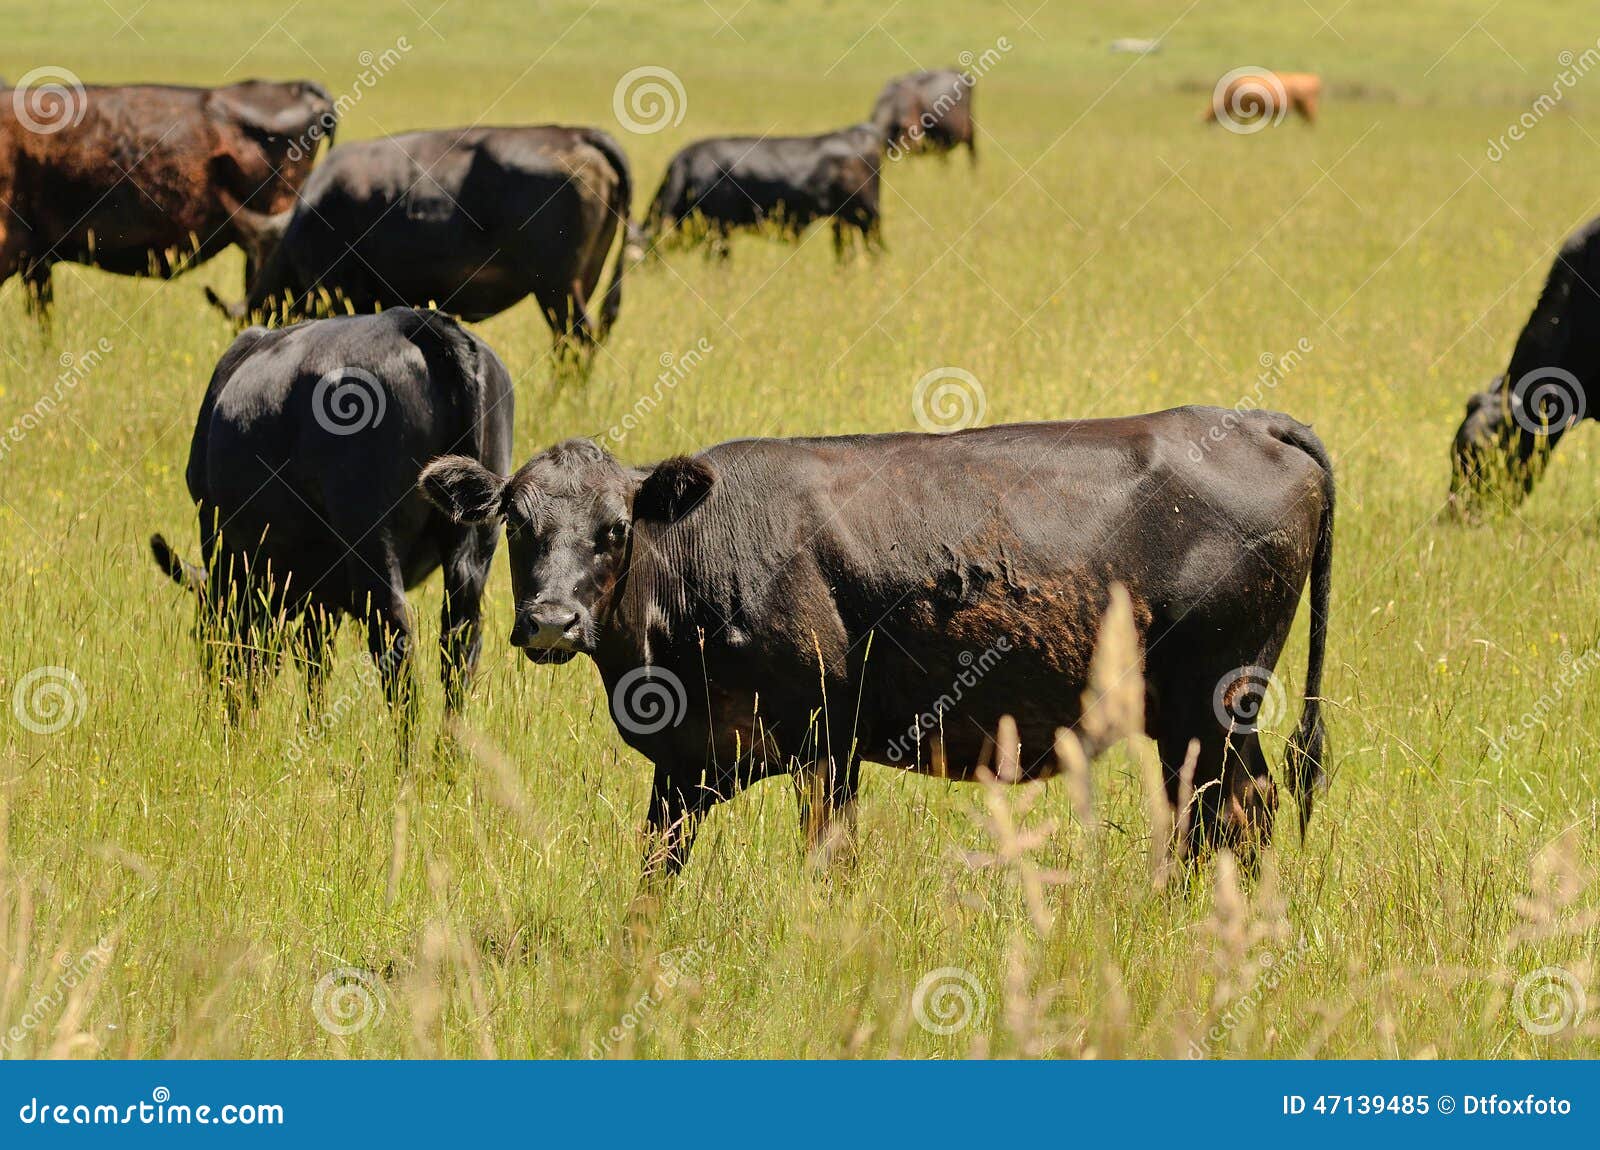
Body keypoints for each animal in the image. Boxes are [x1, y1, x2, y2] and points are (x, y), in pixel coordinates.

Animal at [150, 308, 514, 728]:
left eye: (202, 635)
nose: (223, 709)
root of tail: (415, 320)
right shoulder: (320, 590)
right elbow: (314, 658)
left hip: (372, 544)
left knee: (397, 648)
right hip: (475, 541)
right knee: (459, 647)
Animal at [418, 407, 1335, 890]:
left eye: (614, 529)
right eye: (517, 525)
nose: (551, 620)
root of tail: (1247, 420)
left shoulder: (827, 741)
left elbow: (829, 858)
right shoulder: (684, 764)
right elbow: (655, 868)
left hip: (1213, 706)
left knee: (1238, 811)